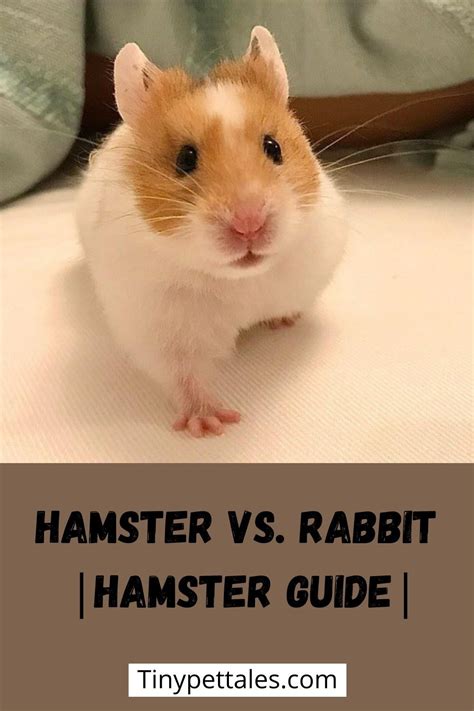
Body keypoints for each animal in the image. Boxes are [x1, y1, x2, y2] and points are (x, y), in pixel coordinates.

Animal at [76, 26, 346, 437]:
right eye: (185, 159)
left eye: (274, 147)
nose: (249, 223)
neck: (241, 279)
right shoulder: (162, 330)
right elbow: (186, 378)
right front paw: (212, 425)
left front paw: (285, 322)